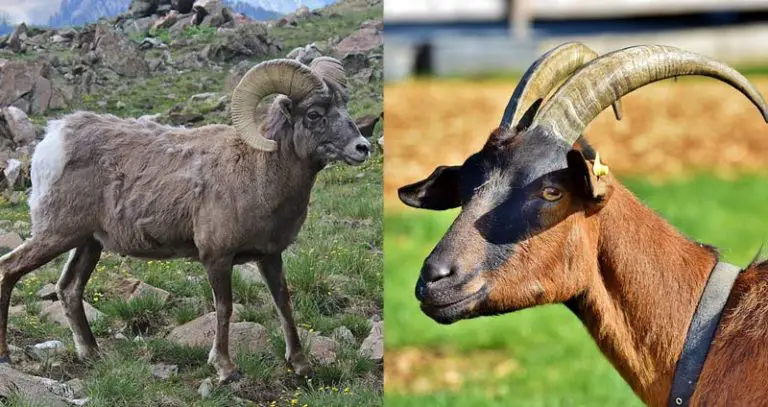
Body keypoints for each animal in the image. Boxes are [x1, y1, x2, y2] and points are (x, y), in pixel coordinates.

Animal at [0, 56, 371, 383]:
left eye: (344, 107)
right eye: (314, 114)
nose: (362, 147)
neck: (256, 173)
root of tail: (53, 140)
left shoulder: (270, 256)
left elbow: (284, 305)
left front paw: (301, 366)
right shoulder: (216, 258)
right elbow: (224, 308)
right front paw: (226, 369)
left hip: (88, 243)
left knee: (69, 288)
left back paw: (92, 353)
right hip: (55, 235)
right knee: (10, 270)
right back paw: (5, 355)